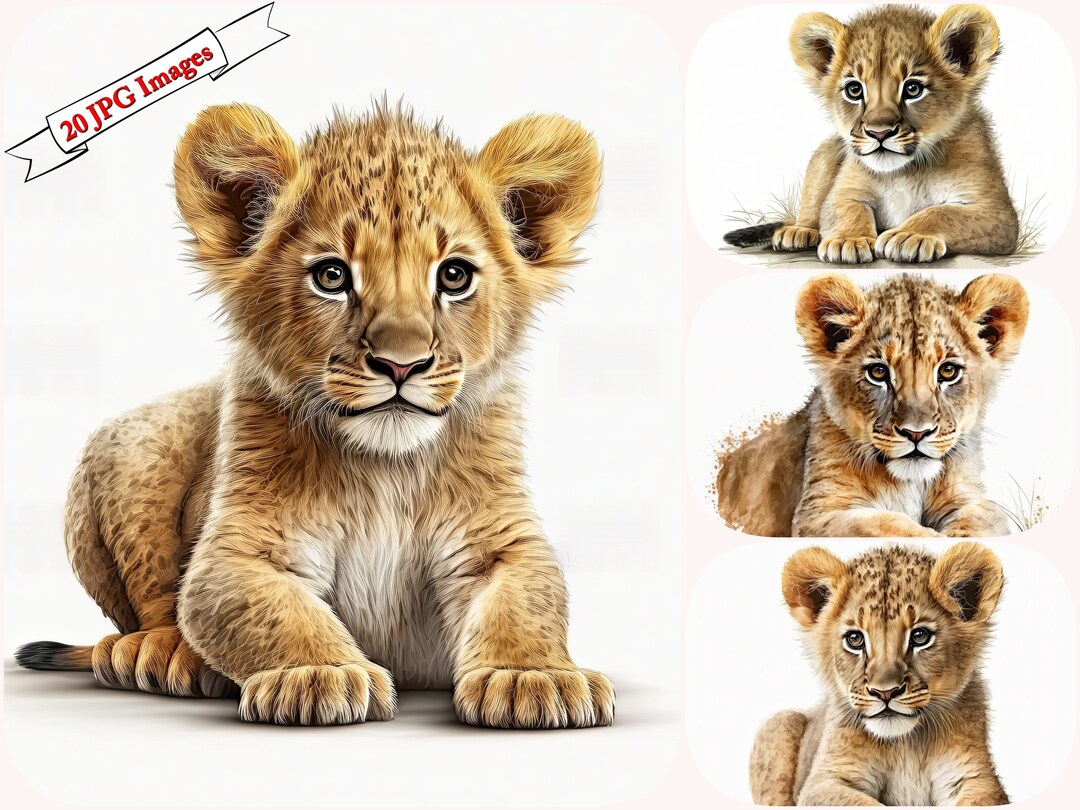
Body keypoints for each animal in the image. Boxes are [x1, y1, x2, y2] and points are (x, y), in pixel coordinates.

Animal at [15, 103, 615, 729]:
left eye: (454, 276)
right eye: (332, 276)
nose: (401, 365)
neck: (386, 468)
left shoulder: (502, 539)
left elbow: (526, 602)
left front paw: (532, 678)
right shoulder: (239, 549)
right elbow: (274, 611)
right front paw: (316, 674)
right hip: (127, 449)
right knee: (150, 601)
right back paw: (162, 652)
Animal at [716, 273, 1028, 537]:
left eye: (948, 371)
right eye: (878, 373)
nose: (917, 433)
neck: (911, 484)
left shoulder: (970, 497)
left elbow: (982, 519)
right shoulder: (816, 514)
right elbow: (887, 526)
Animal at [723, 4, 1019, 263]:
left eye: (912, 88)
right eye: (854, 90)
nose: (879, 133)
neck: (905, 173)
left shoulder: (997, 213)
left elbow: (944, 213)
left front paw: (907, 235)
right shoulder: (845, 191)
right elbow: (847, 210)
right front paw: (849, 241)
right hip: (823, 157)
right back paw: (799, 231)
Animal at [751, 542, 1008, 806]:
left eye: (920, 636)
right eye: (855, 639)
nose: (885, 693)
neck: (906, 744)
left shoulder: (977, 778)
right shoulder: (823, 781)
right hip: (779, 723)